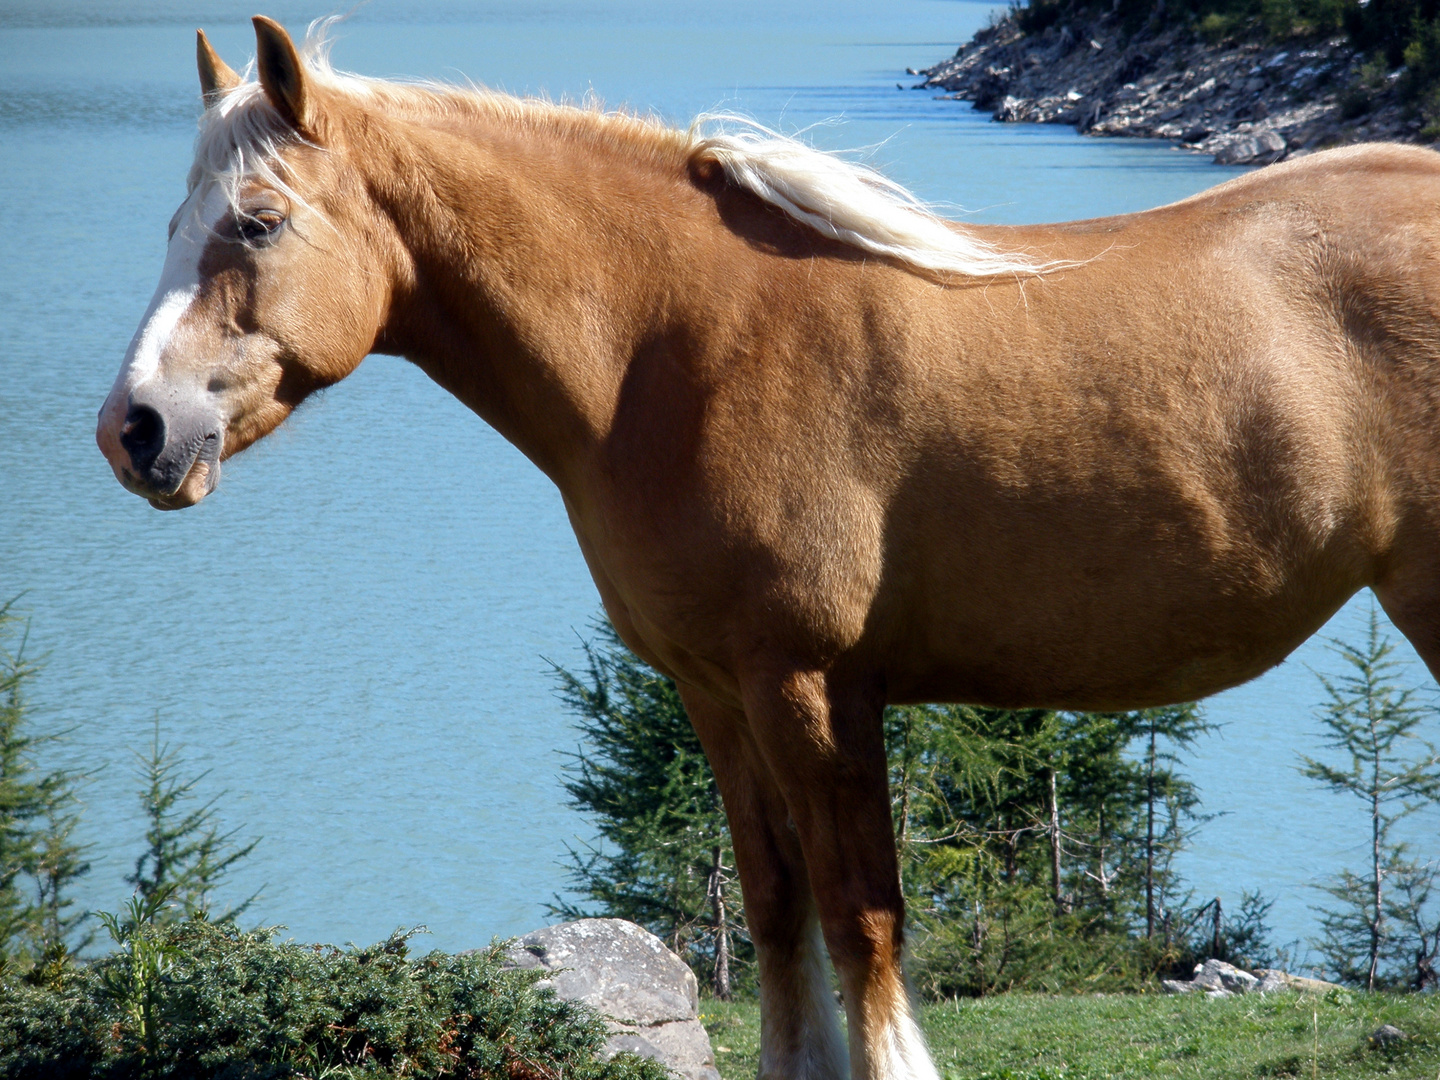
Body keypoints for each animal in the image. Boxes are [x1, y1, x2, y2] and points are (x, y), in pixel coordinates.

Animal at [97, 16, 1440, 1080]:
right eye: (170, 219)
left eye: (258, 220)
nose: (136, 428)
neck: (678, 341)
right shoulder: (715, 687)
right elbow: (777, 910)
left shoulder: (814, 685)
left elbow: (861, 921)